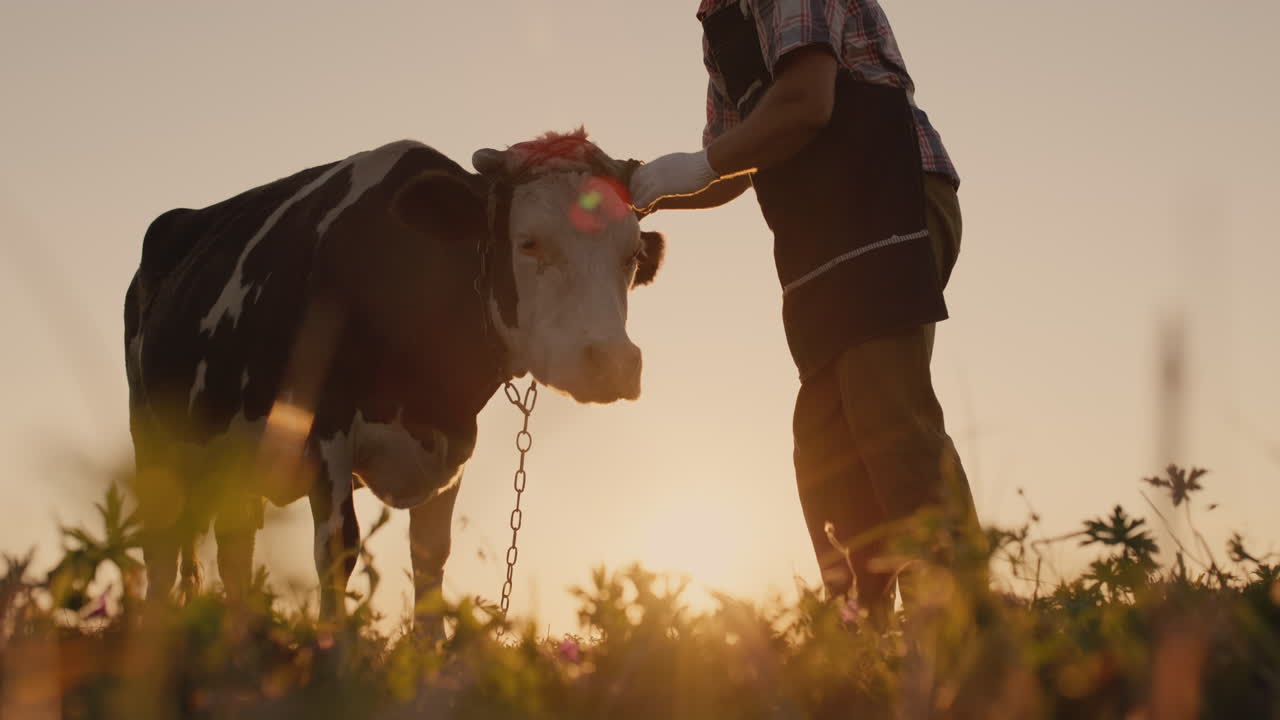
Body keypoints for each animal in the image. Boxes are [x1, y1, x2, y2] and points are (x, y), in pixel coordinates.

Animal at [124, 130, 664, 620]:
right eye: (529, 242)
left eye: (633, 255)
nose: (613, 361)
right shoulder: (325, 435)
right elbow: (338, 553)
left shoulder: (452, 447)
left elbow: (429, 561)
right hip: (154, 442)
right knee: (162, 556)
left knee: (235, 553)